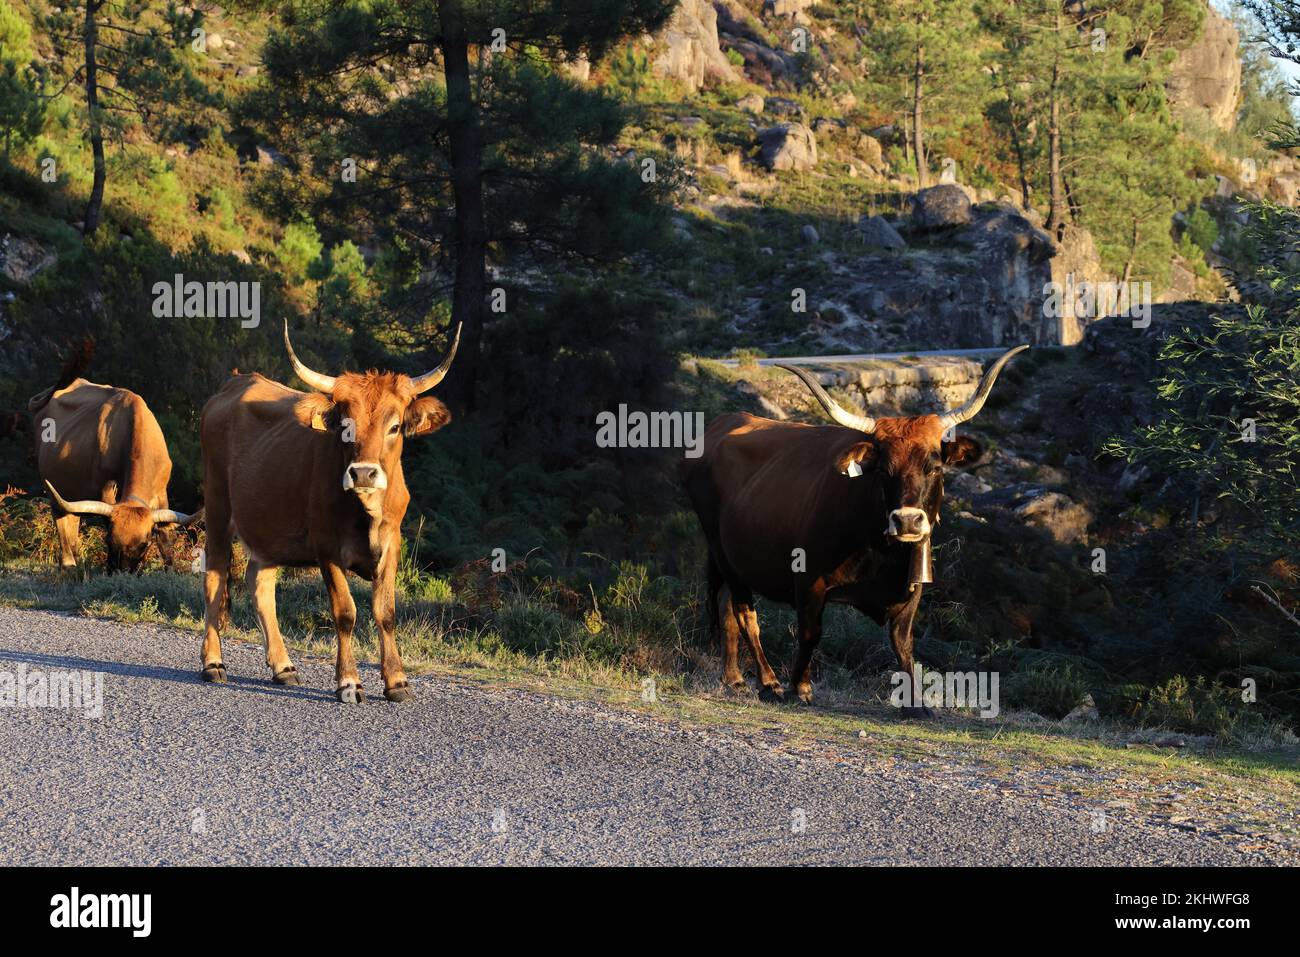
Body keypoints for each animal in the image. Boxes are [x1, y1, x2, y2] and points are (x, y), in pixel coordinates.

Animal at [29, 364, 199, 573]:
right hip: (55, 493)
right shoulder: (106, 488)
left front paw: (170, 571)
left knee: (72, 524)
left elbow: (165, 536)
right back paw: (69, 566)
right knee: (62, 526)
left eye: (144, 544)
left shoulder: (161, 491)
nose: (123, 571)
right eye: (109, 541)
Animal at [196, 321, 459, 702]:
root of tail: (236, 382)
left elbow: (386, 612)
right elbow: (345, 611)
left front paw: (397, 682)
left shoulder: (391, 543)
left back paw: (284, 667)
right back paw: (213, 663)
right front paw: (349, 682)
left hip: (267, 528)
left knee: (260, 585)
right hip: (217, 508)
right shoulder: (326, 548)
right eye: (346, 426)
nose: (363, 473)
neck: (365, 514)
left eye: (395, 426)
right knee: (215, 578)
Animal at [681, 345, 1026, 714]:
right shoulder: (808, 580)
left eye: (934, 467)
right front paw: (799, 687)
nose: (907, 520)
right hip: (721, 549)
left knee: (727, 607)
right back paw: (769, 682)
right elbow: (811, 633)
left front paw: (915, 704)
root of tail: (724, 423)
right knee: (745, 613)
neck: (880, 550)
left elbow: (902, 642)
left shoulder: (912, 586)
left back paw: (733, 678)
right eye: (884, 470)